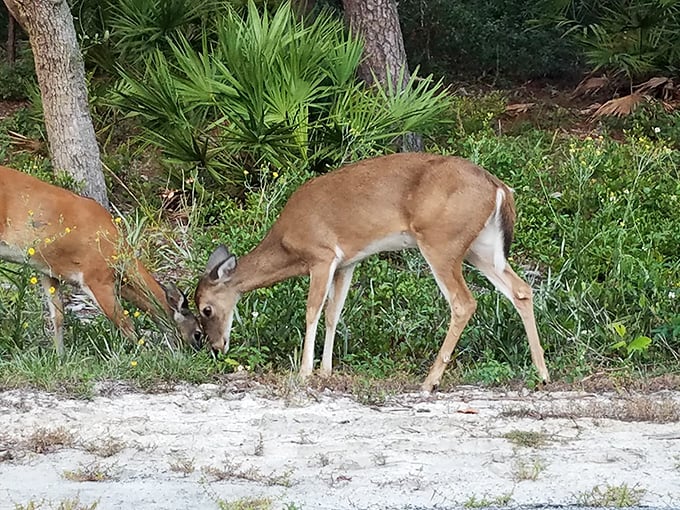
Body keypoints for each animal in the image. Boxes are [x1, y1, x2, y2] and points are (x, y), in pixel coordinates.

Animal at [0, 165, 203, 354]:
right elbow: (125, 322)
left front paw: (60, 357)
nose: (199, 353)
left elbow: (58, 317)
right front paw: (142, 355)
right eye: (198, 333)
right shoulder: (96, 276)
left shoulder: (49, 270)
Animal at [195, 153, 549, 392]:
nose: (215, 347)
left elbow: (312, 311)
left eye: (206, 309)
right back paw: (542, 373)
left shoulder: (321, 255)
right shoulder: (347, 262)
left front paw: (305, 371)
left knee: (464, 302)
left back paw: (430, 381)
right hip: (481, 247)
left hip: (442, 241)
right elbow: (333, 313)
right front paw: (325, 370)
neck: (287, 244)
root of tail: (499, 187)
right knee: (521, 290)